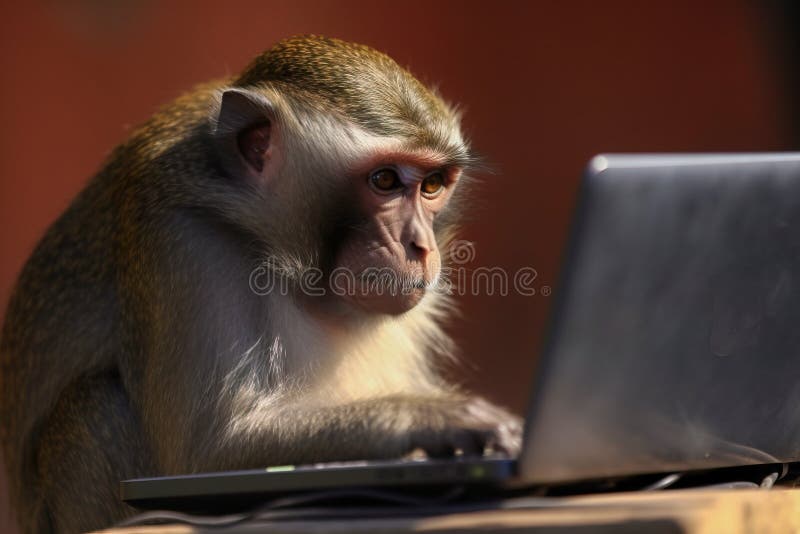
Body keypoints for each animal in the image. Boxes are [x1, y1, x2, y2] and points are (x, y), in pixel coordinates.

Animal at [0, 35, 522, 534]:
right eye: (386, 180)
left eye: (432, 185)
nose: (421, 245)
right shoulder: (186, 238)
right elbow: (206, 449)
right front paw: (434, 418)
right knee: (94, 407)